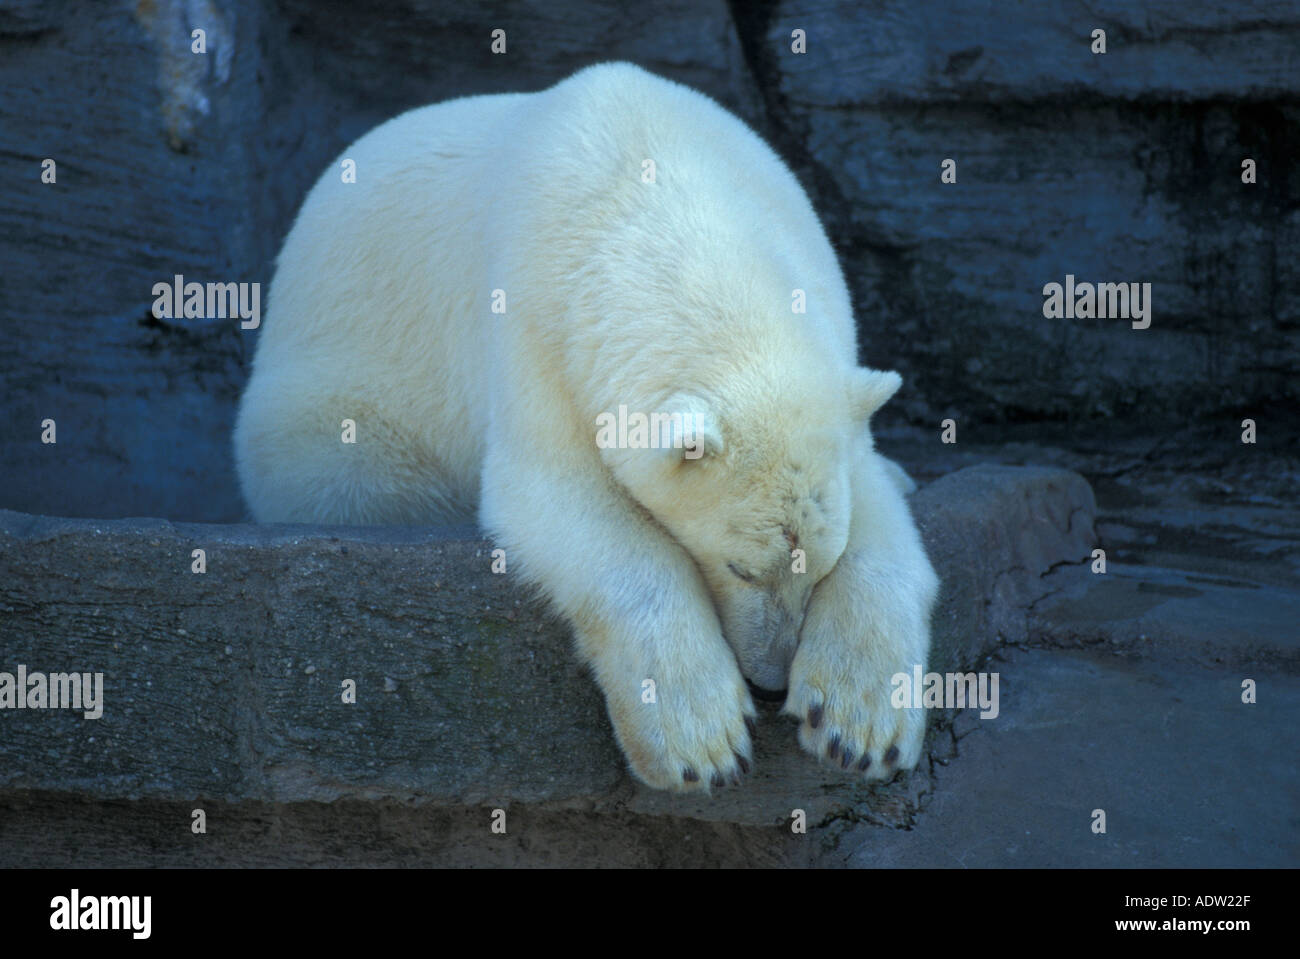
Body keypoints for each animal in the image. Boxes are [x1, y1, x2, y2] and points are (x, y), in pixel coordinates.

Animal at [234, 62, 939, 792]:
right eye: (739, 567)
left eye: (818, 568)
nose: (771, 679)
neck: (669, 195)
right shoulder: (539, 319)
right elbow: (561, 496)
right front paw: (701, 740)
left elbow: (871, 504)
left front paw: (858, 726)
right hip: (335, 414)